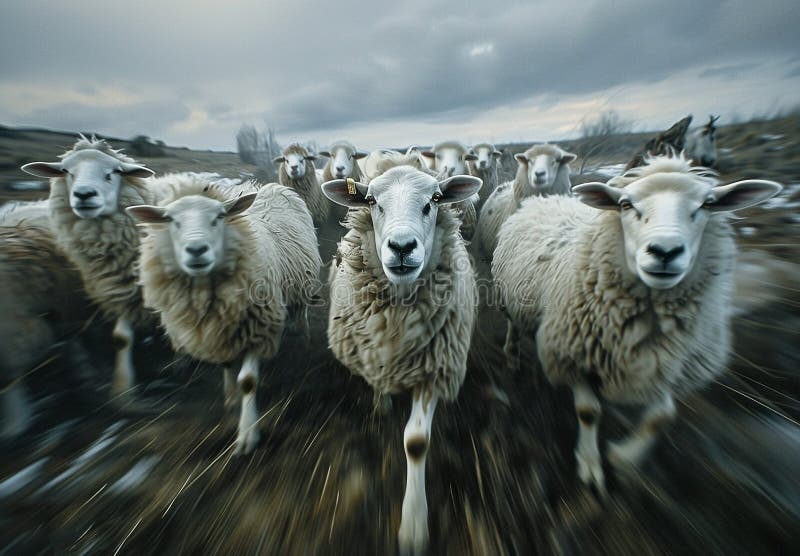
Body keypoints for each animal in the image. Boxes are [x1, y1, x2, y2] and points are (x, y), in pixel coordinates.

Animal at [21, 136, 157, 397]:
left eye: (115, 171)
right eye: (65, 171)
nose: (84, 194)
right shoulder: (118, 287)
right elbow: (121, 338)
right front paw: (121, 388)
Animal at [127, 176, 322, 454]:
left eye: (219, 216)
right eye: (170, 219)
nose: (197, 249)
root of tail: (263, 186)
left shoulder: (258, 327)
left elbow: (248, 381)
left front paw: (247, 434)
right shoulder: (217, 333)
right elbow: (227, 365)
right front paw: (231, 399)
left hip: (302, 285)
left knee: (300, 314)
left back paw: (301, 337)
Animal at [322, 166, 481, 555]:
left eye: (435, 200)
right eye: (371, 201)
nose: (402, 247)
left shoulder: (436, 370)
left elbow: (416, 443)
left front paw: (413, 526)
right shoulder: (372, 352)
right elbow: (377, 380)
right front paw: (381, 402)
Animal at [492, 154, 782, 493]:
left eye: (708, 204)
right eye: (626, 204)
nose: (665, 251)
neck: (647, 319)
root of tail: (544, 199)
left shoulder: (668, 365)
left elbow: (662, 417)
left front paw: (624, 458)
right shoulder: (575, 354)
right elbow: (588, 412)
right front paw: (590, 465)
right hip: (510, 297)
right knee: (514, 326)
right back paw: (512, 354)